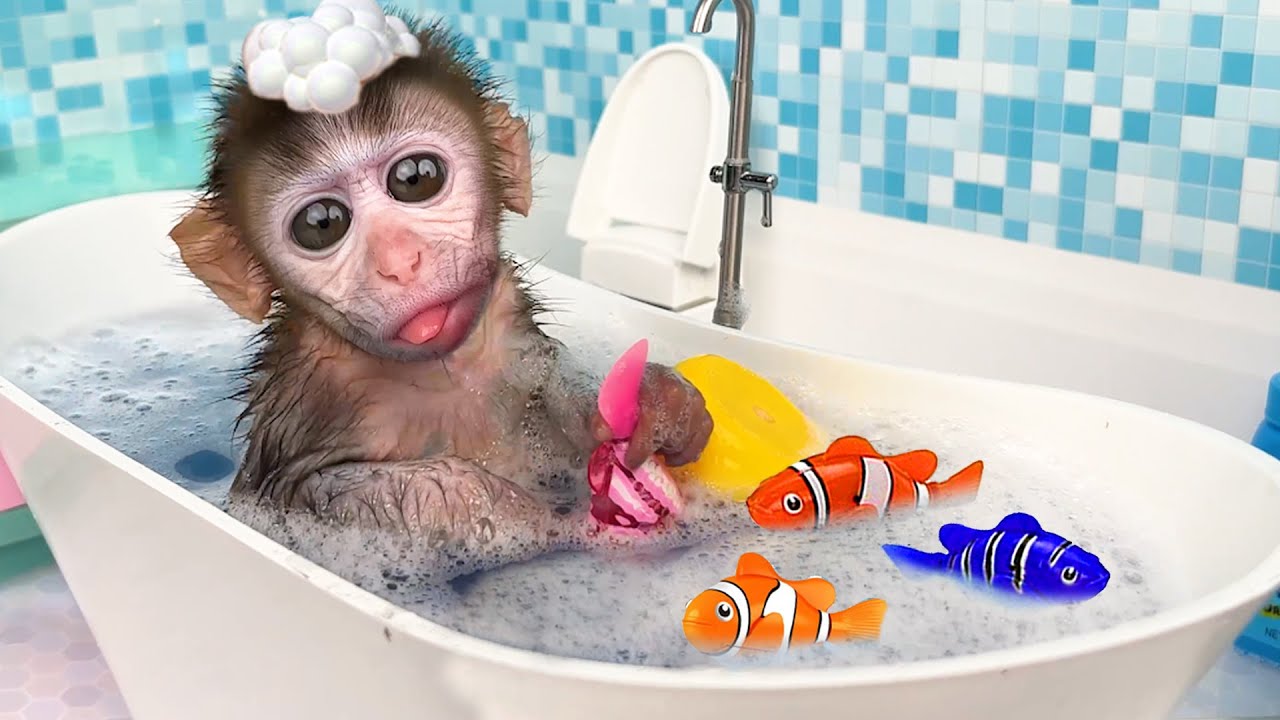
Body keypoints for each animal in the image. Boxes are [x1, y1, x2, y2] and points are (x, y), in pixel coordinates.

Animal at [167, 10, 719, 586]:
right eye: (321, 224)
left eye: (416, 178)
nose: (399, 261)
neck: (434, 372)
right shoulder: (303, 401)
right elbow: (310, 490)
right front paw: (531, 518)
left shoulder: (502, 319)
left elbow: (548, 372)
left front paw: (654, 401)